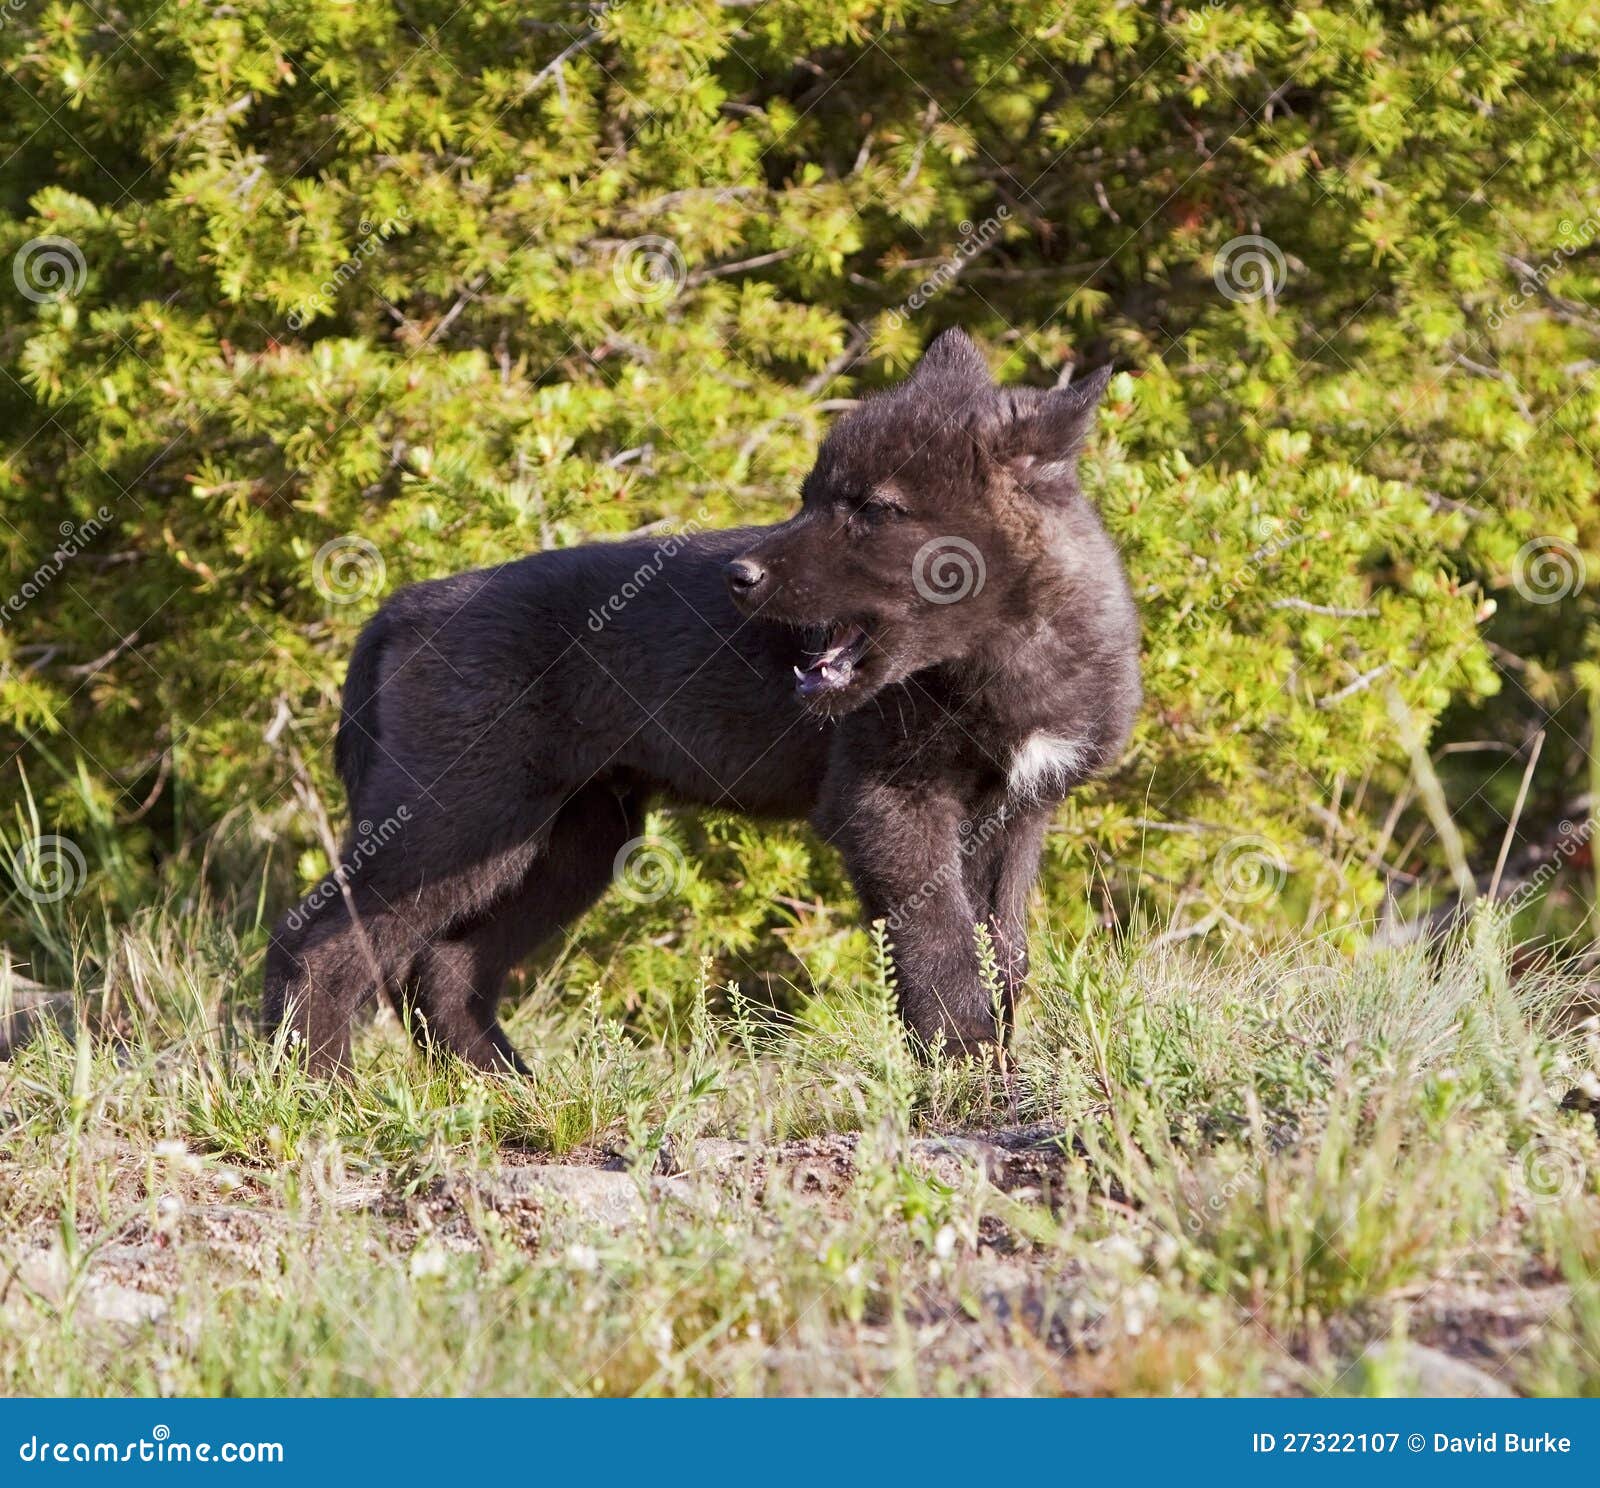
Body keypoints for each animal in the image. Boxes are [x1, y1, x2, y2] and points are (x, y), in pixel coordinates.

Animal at [263, 330, 1141, 1074]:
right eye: (810, 497)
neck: (1004, 656)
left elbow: (1005, 956)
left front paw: (996, 1070)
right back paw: (318, 1092)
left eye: (875, 509)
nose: (739, 577)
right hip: (458, 818)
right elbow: (943, 948)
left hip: (564, 843)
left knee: (443, 966)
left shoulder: (1018, 813)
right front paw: (965, 1072)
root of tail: (401, 607)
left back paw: (508, 1092)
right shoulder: (889, 804)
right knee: (319, 940)